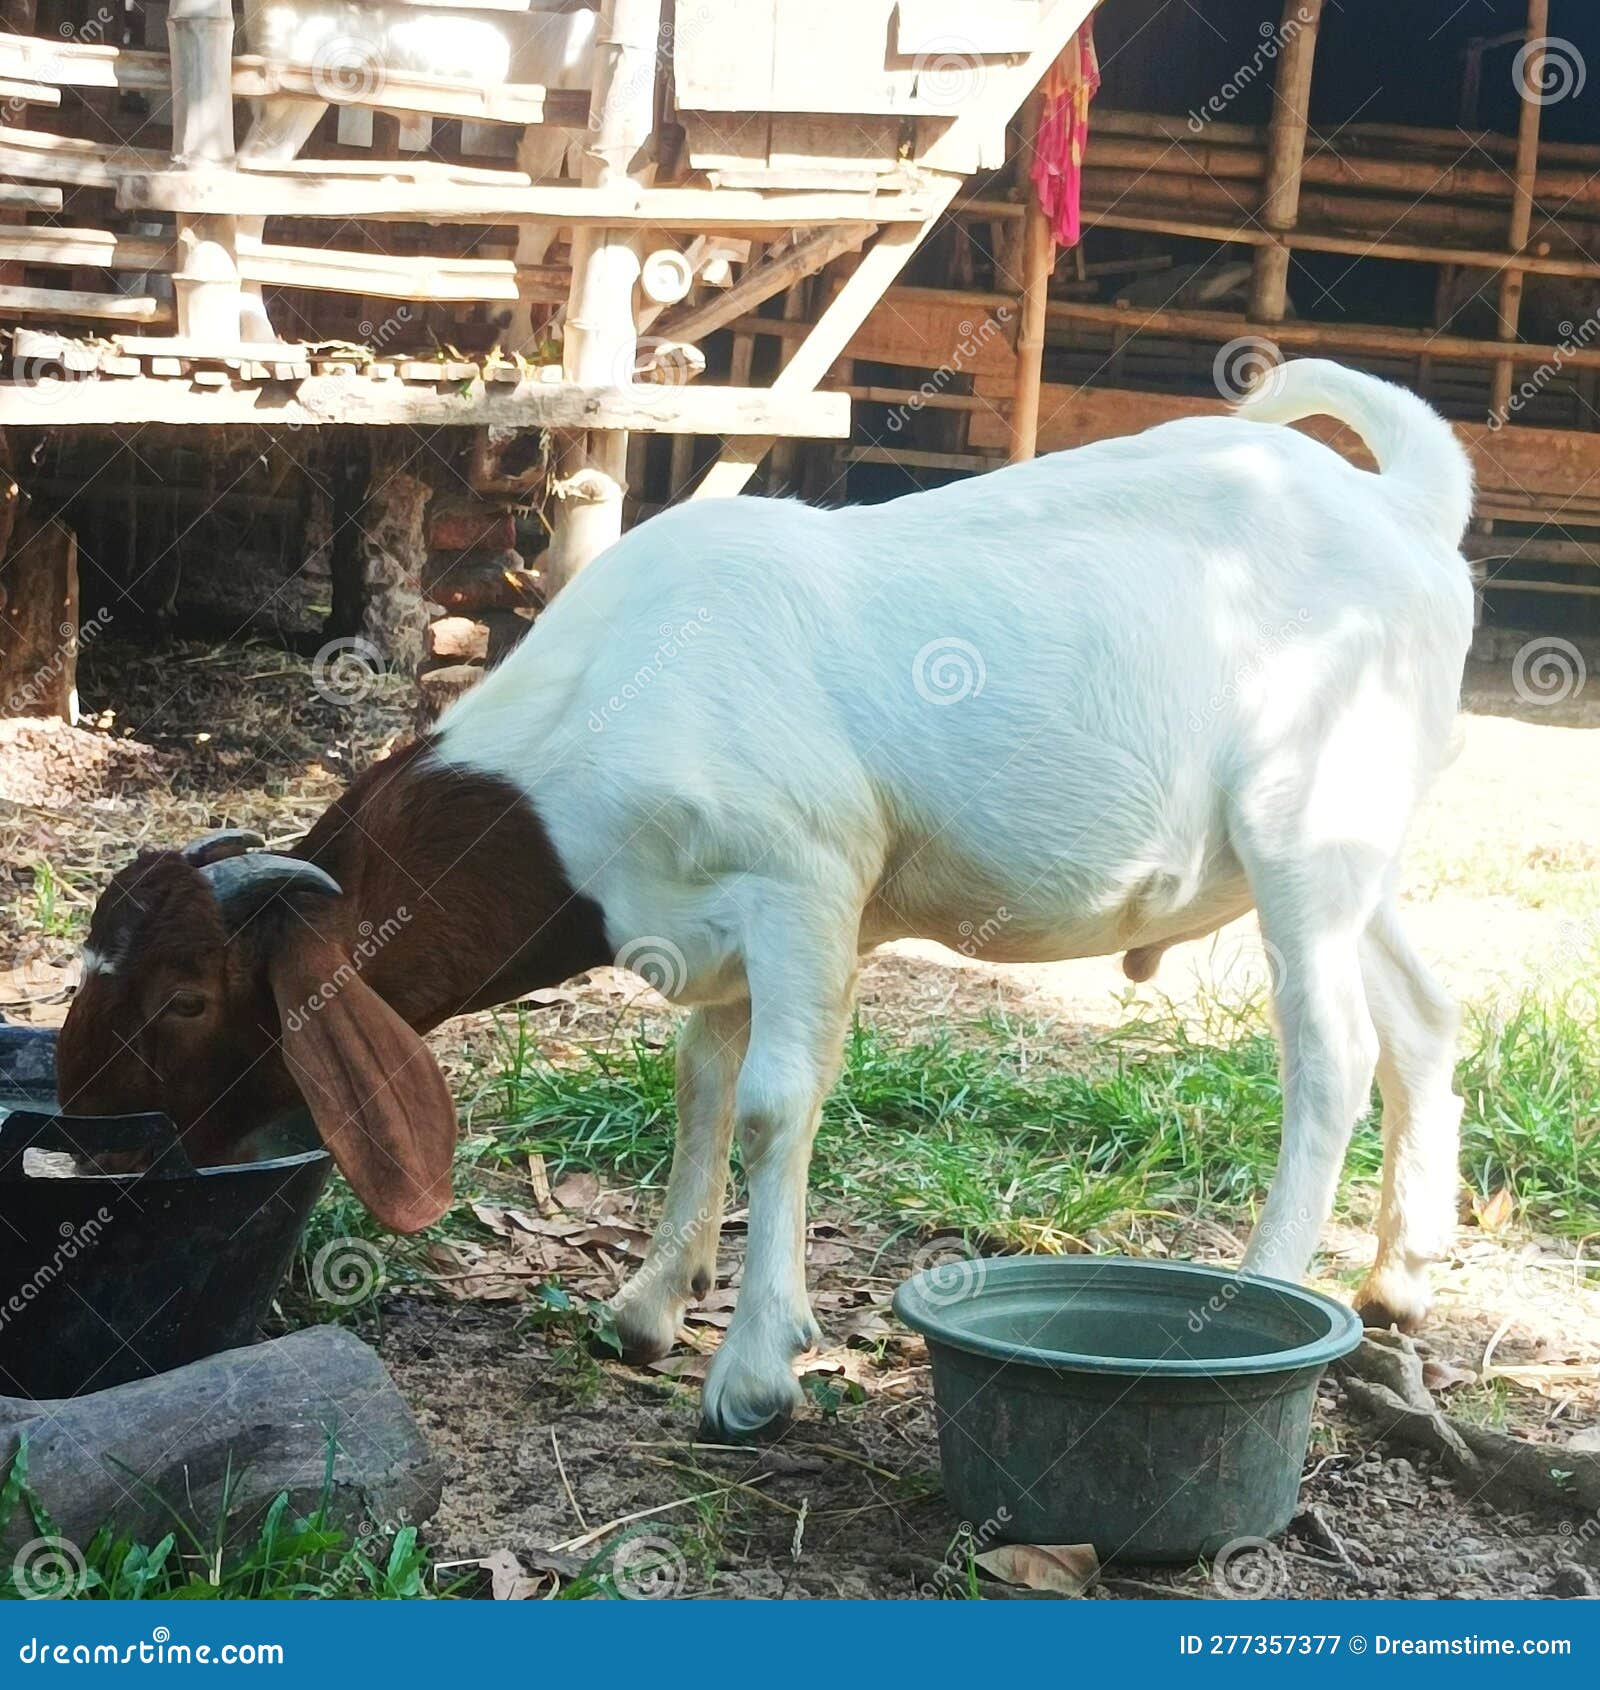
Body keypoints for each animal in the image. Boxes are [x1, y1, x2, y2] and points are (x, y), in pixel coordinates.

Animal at [59, 360, 1474, 1438]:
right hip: (1359, 845)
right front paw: (649, 1303)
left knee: (1332, 1053)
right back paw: (1397, 1281)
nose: (86, 1133)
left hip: (1302, 823)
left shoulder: (805, 885)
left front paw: (750, 1371)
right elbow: (699, 1078)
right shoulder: (711, 924)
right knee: (1422, 1015)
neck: (596, 722)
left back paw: (1258, 1301)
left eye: (185, 999)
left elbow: (772, 1103)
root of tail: (1409, 507)